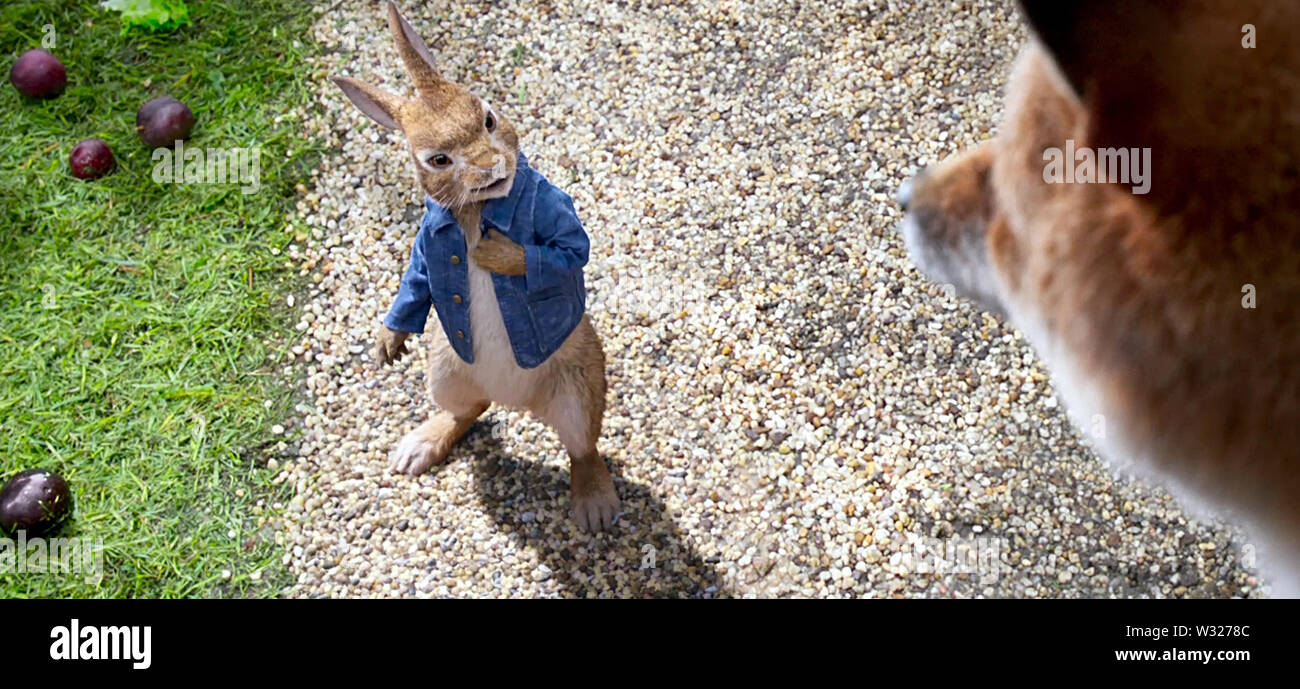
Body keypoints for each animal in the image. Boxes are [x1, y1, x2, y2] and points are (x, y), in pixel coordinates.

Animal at [331, 2, 618, 532]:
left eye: (488, 117)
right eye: (438, 159)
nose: (492, 165)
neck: (475, 212)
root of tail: (519, 402)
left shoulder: (557, 218)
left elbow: (568, 250)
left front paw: (492, 253)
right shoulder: (425, 249)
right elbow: (415, 282)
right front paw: (388, 344)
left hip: (576, 388)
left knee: (582, 448)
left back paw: (595, 507)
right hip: (446, 373)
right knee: (471, 410)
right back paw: (417, 448)